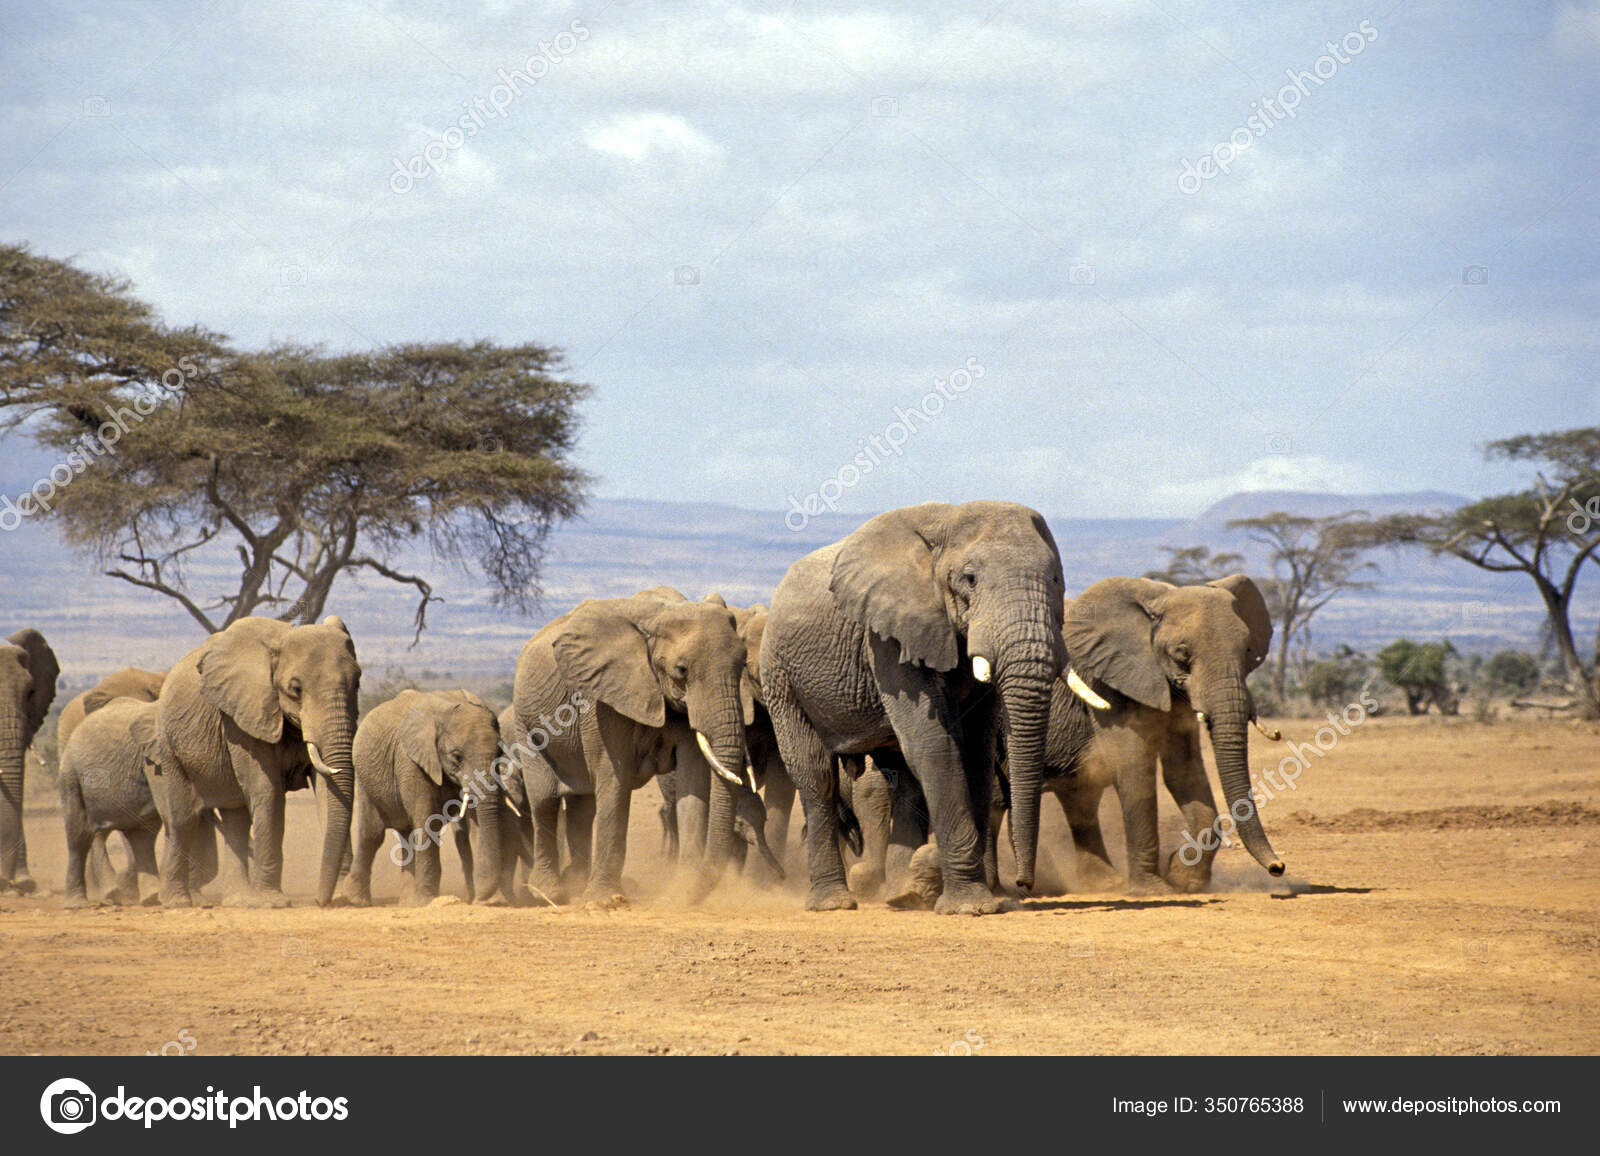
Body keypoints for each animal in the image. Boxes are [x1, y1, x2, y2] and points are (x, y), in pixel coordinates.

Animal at [58, 697, 218, 907]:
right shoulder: (156, 760)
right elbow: (180, 815)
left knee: (141, 834)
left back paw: (150, 897)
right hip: (71, 775)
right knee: (81, 833)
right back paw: (93, 899)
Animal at [149, 615, 361, 907]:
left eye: (358, 683)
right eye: (295, 689)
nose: (320, 901)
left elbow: (328, 793)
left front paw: (343, 897)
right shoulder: (241, 717)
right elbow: (268, 792)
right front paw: (274, 903)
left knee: (235, 817)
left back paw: (239, 900)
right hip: (169, 744)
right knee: (183, 818)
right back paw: (178, 902)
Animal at [343, 689, 506, 906]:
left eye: (500, 752)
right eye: (457, 756)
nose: (480, 897)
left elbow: (476, 825)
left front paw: (488, 902)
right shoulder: (411, 762)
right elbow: (428, 821)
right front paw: (427, 902)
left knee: (406, 834)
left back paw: (406, 903)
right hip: (365, 779)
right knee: (372, 834)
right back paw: (358, 900)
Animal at [511, 586, 754, 909]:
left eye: (743, 664)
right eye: (681, 670)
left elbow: (693, 780)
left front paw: (682, 893)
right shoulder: (600, 701)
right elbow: (615, 780)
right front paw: (604, 900)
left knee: (582, 806)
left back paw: (576, 884)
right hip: (526, 723)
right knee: (545, 800)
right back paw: (549, 894)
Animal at [762, 500, 1067, 915]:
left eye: (1056, 579)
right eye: (969, 579)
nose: (1024, 884)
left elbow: (975, 751)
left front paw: (951, 889)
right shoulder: (887, 637)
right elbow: (935, 744)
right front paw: (970, 907)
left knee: (902, 778)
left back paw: (900, 895)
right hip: (780, 675)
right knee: (816, 774)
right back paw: (834, 903)